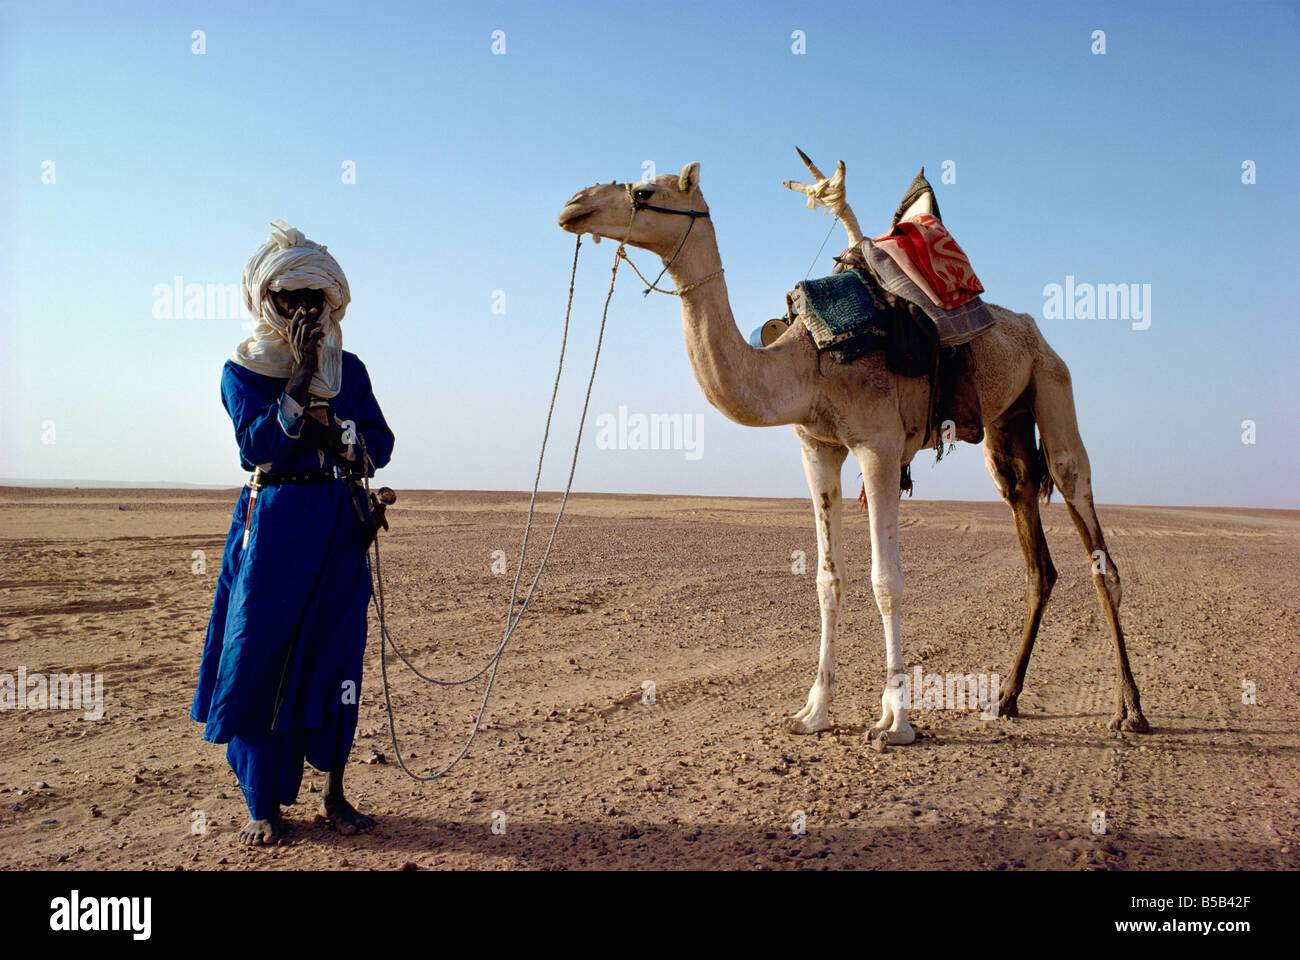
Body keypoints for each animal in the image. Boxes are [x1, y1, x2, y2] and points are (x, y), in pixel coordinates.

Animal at [556, 157, 1148, 744]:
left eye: (643, 191)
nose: (572, 205)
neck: (806, 362)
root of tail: (1030, 327)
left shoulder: (878, 447)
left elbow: (886, 581)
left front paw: (895, 722)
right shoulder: (818, 448)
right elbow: (828, 580)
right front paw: (812, 712)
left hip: (1053, 380)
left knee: (1089, 525)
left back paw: (1130, 711)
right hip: (1006, 421)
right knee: (1031, 538)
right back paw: (1006, 698)